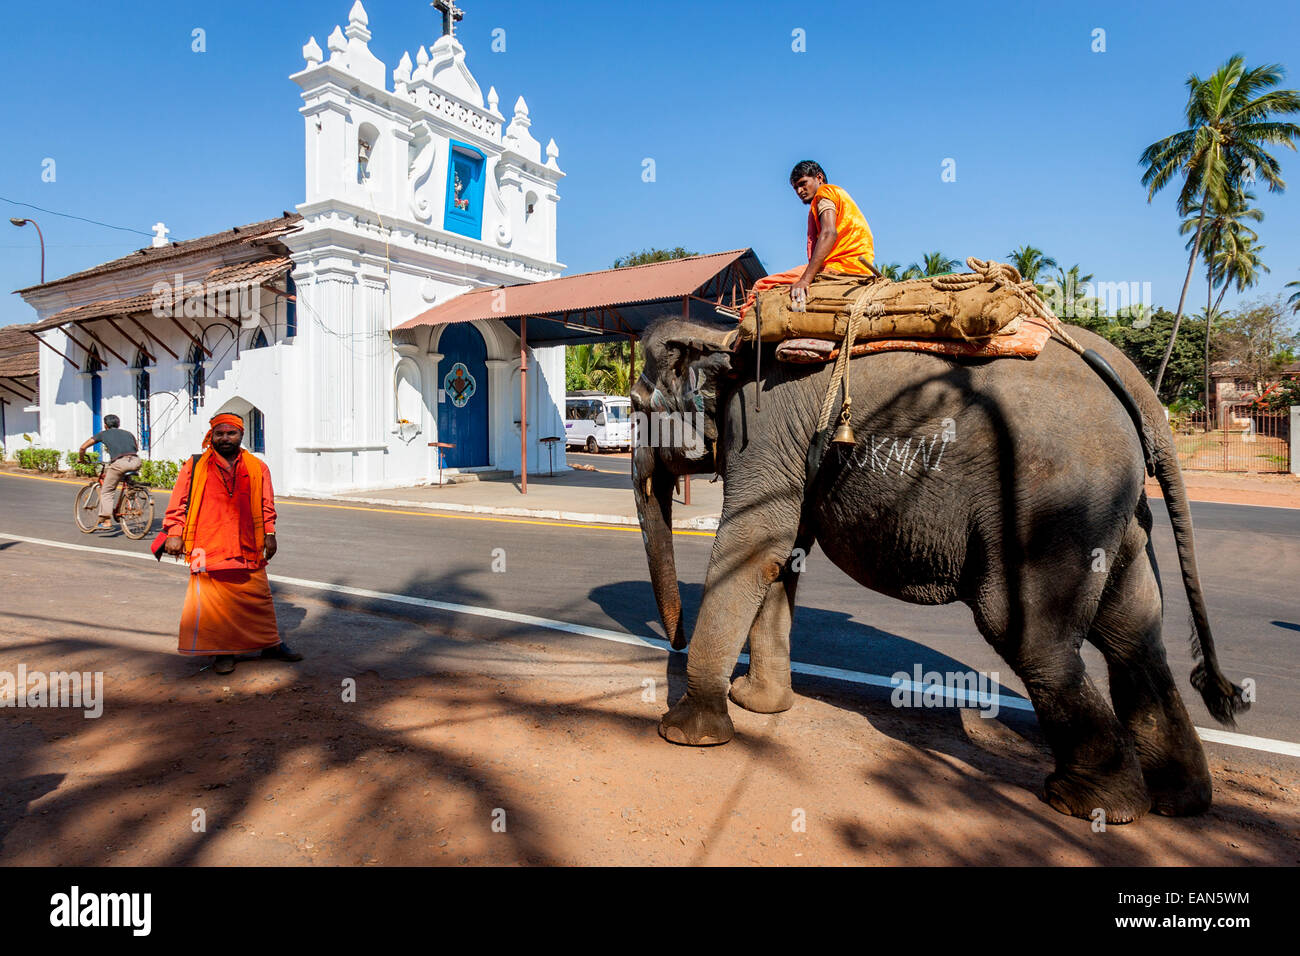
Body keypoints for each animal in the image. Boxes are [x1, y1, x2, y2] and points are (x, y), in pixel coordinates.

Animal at [630, 315, 1248, 824]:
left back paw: (1089, 803)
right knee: (1134, 634)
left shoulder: (763, 427)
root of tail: (1134, 386)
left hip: (1053, 500)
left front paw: (686, 733)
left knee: (1028, 634)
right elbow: (786, 556)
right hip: (1116, 509)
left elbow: (757, 543)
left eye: (636, 409)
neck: (724, 332)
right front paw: (759, 704)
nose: (673, 643)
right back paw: (1179, 801)